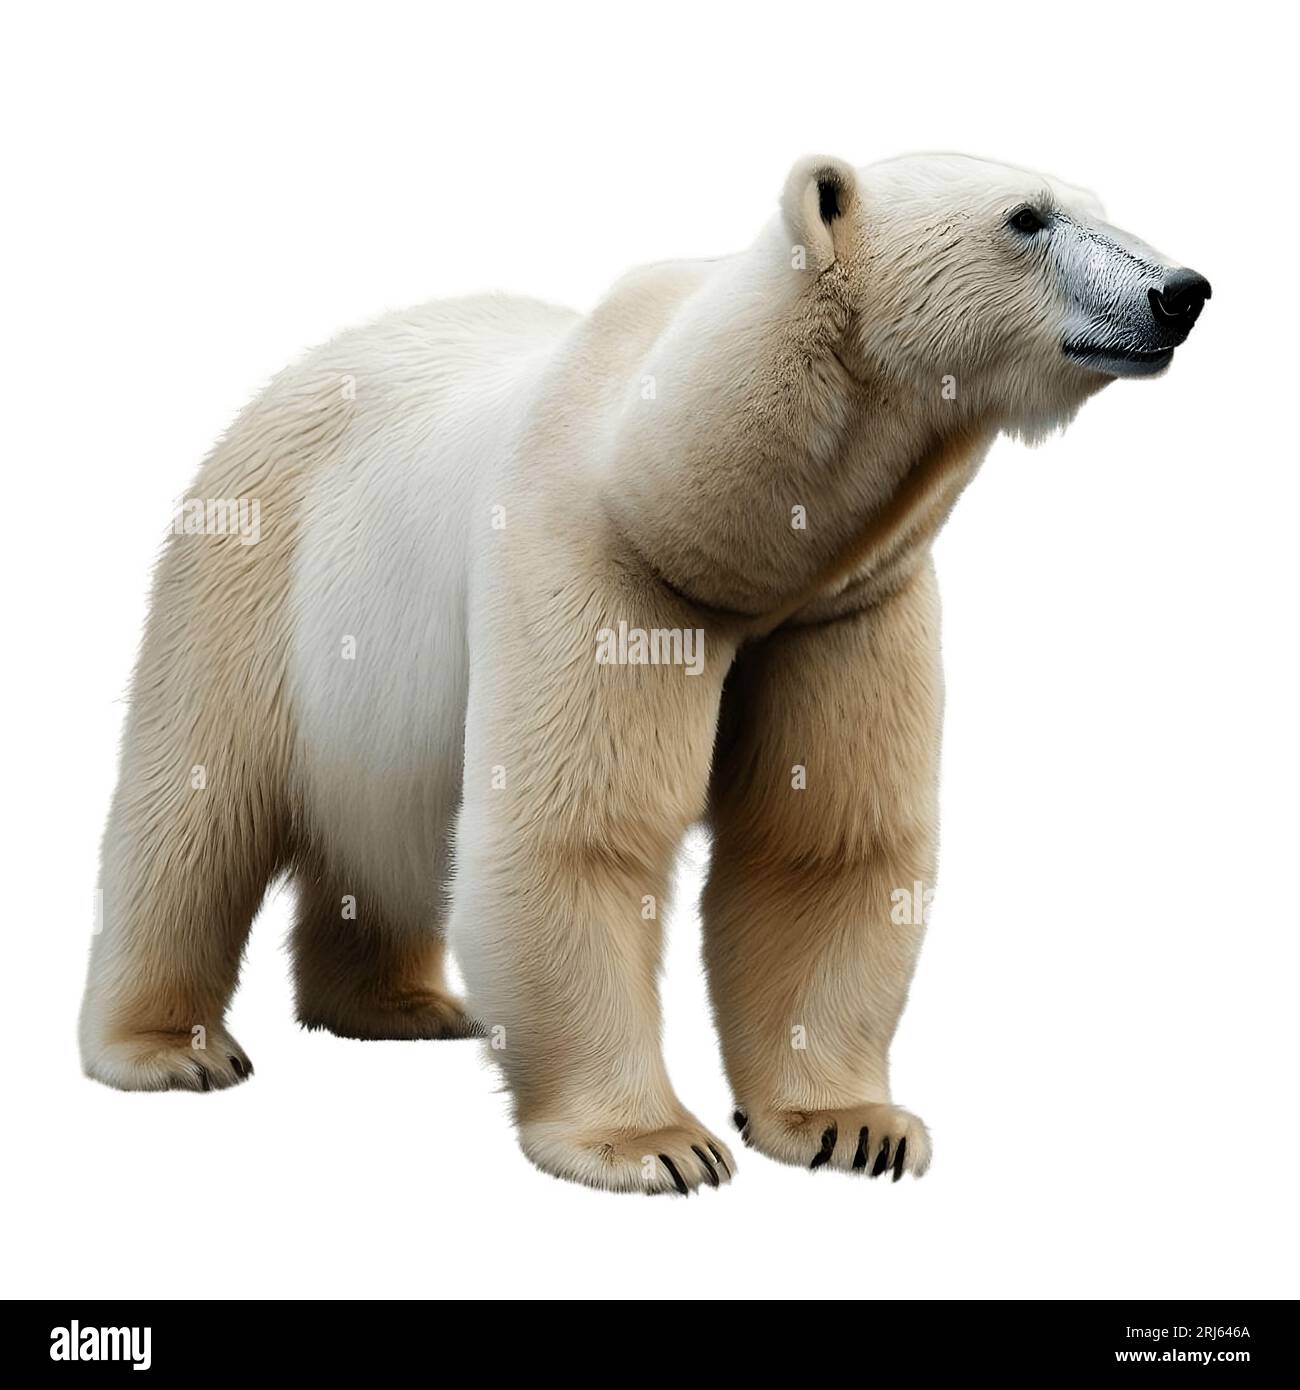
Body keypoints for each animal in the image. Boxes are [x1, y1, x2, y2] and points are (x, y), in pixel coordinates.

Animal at [80, 152, 1210, 1194]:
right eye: (1028, 217)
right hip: (259, 564)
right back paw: (168, 1048)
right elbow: (580, 827)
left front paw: (853, 1127)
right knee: (195, 800)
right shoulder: (602, 561)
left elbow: (821, 837)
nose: (1182, 290)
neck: (701, 499)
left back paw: (403, 1005)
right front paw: (656, 1144)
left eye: (1101, 205)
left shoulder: (845, 604)